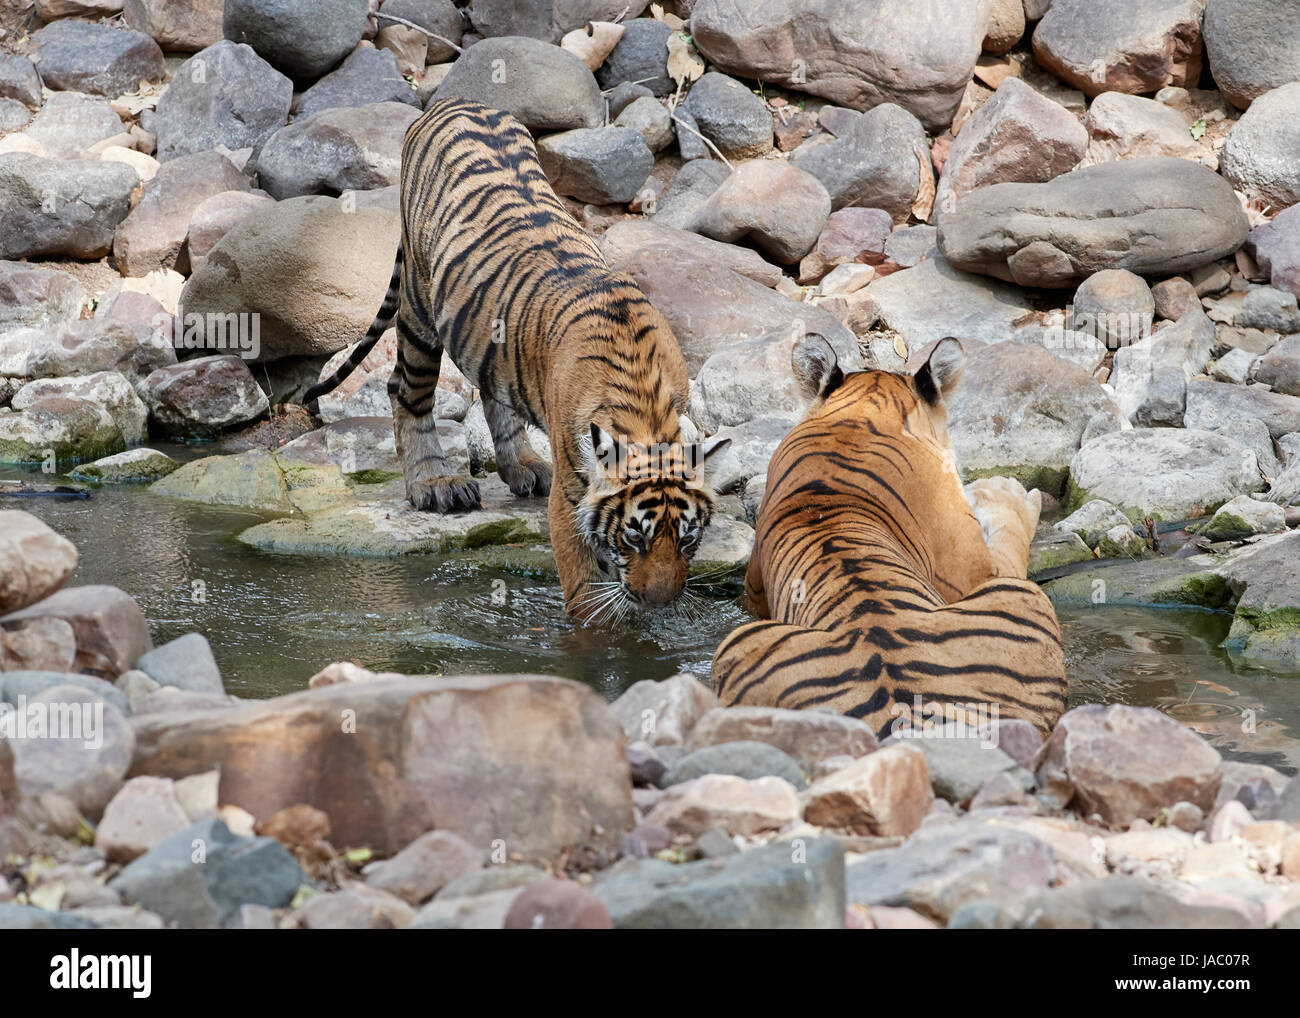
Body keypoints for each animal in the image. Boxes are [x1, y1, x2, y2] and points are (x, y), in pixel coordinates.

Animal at [302, 98, 729, 621]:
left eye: (687, 540)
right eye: (634, 538)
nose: (658, 602)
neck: (644, 403)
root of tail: (448, 101)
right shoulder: (571, 504)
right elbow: (588, 598)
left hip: (493, 337)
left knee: (492, 391)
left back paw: (524, 465)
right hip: (419, 306)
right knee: (405, 391)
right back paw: (434, 484)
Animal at [711, 335, 1068, 739]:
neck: (856, 421)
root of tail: (899, 711)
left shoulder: (753, 587)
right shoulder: (971, 570)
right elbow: (1011, 531)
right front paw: (1007, 491)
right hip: (1023, 594)